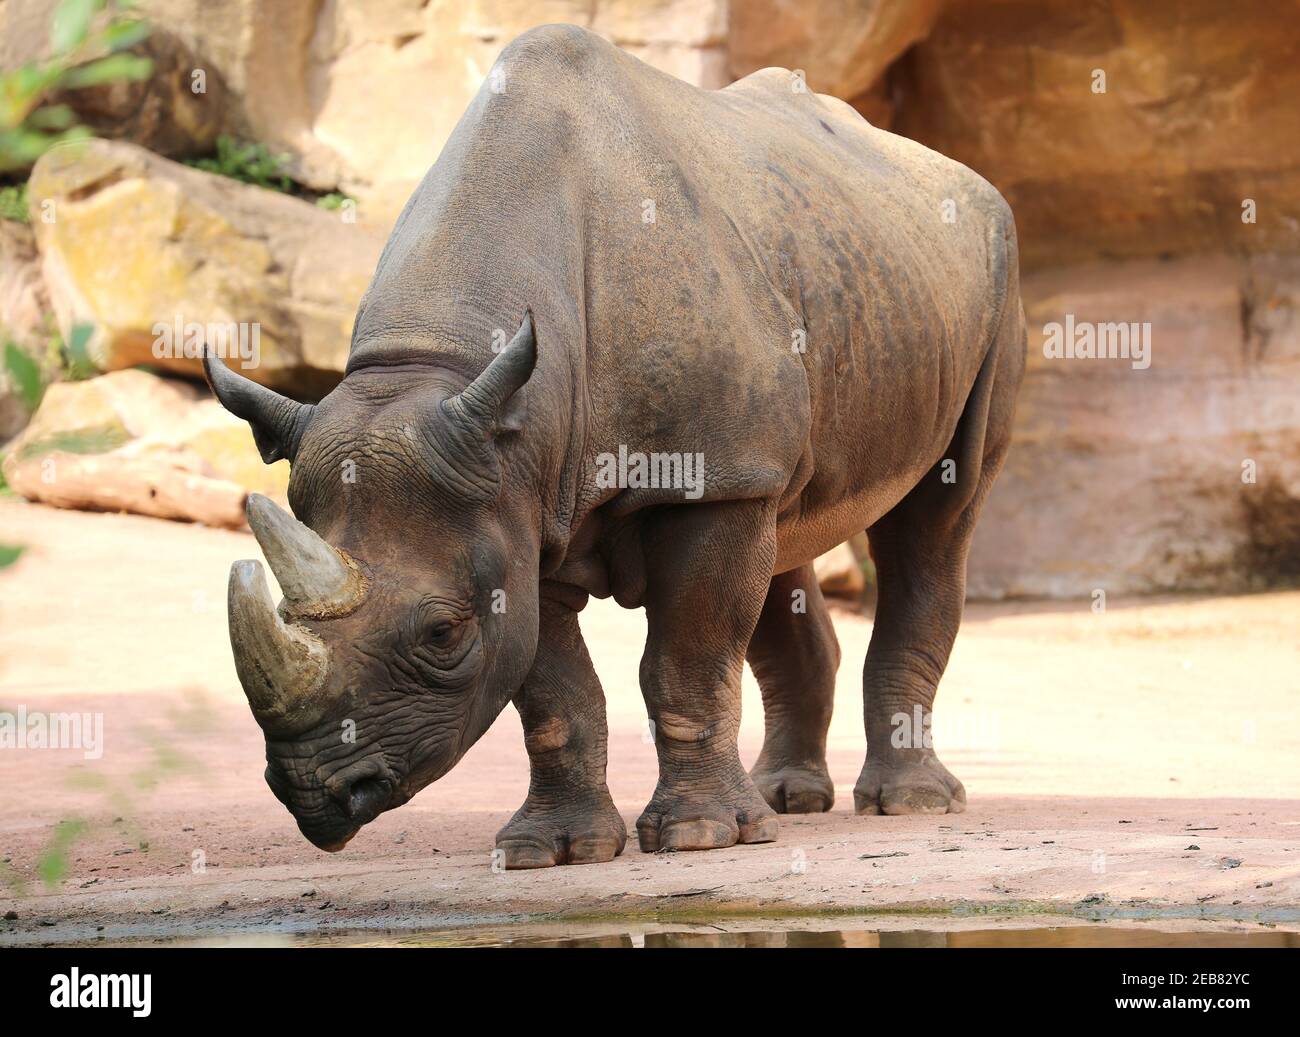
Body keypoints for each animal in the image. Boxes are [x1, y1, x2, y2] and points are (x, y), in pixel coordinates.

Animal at [205, 24, 1026, 867]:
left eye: (444, 632)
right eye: (285, 615)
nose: (318, 796)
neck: (448, 363)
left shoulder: (692, 475)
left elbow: (685, 659)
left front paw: (699, 837)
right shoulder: (515, 497)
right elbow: (552, 690)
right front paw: (553, 849)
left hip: (991, 273)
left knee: (938, 517)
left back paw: (908, 802)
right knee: (786, 527)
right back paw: (785, 799)